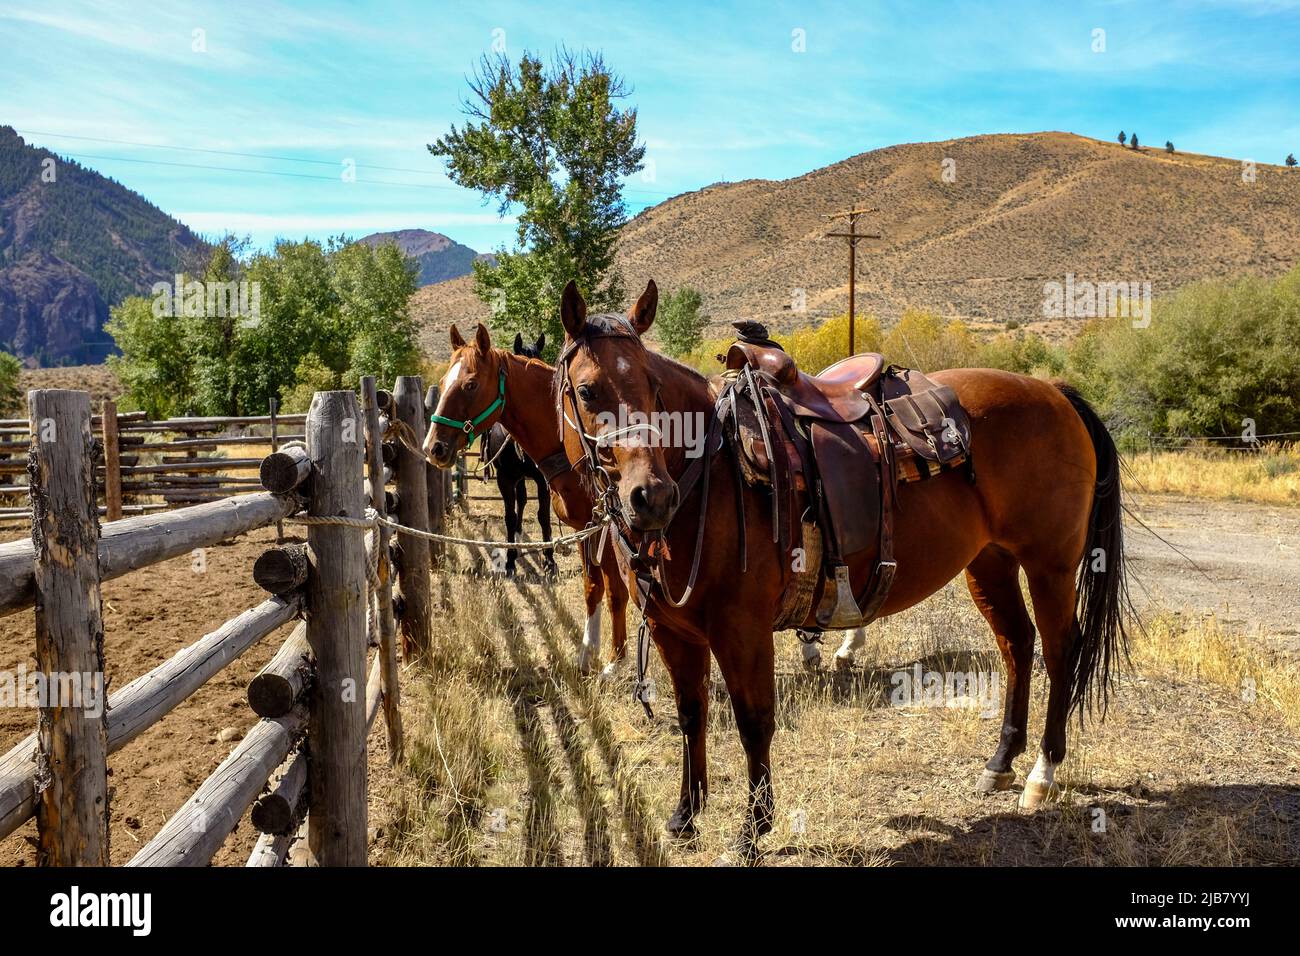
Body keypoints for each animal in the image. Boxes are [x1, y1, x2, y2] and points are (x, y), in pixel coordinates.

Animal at [424, 322, 631, 677]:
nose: (433, 447)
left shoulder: (605, 528)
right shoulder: (585, 527)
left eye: (470, 384)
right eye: (442, 383)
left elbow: (615, 589)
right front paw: (587, 656)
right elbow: (594, 586)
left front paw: (615, 663)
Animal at [551, 278, 1129, 862]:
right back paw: (1001, 762)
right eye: (587, 391)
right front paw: (685, 815)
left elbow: (753, 722)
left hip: (1050, 564)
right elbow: (691, 713)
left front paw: (752, 832)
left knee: (1059, 652)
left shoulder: (741, 630)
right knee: (1017, 644)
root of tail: (1055, 391)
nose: (651, 497)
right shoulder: (673, 630)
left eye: (652, 386)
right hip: (990, 563)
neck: (710, 471)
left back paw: (1042, 773)